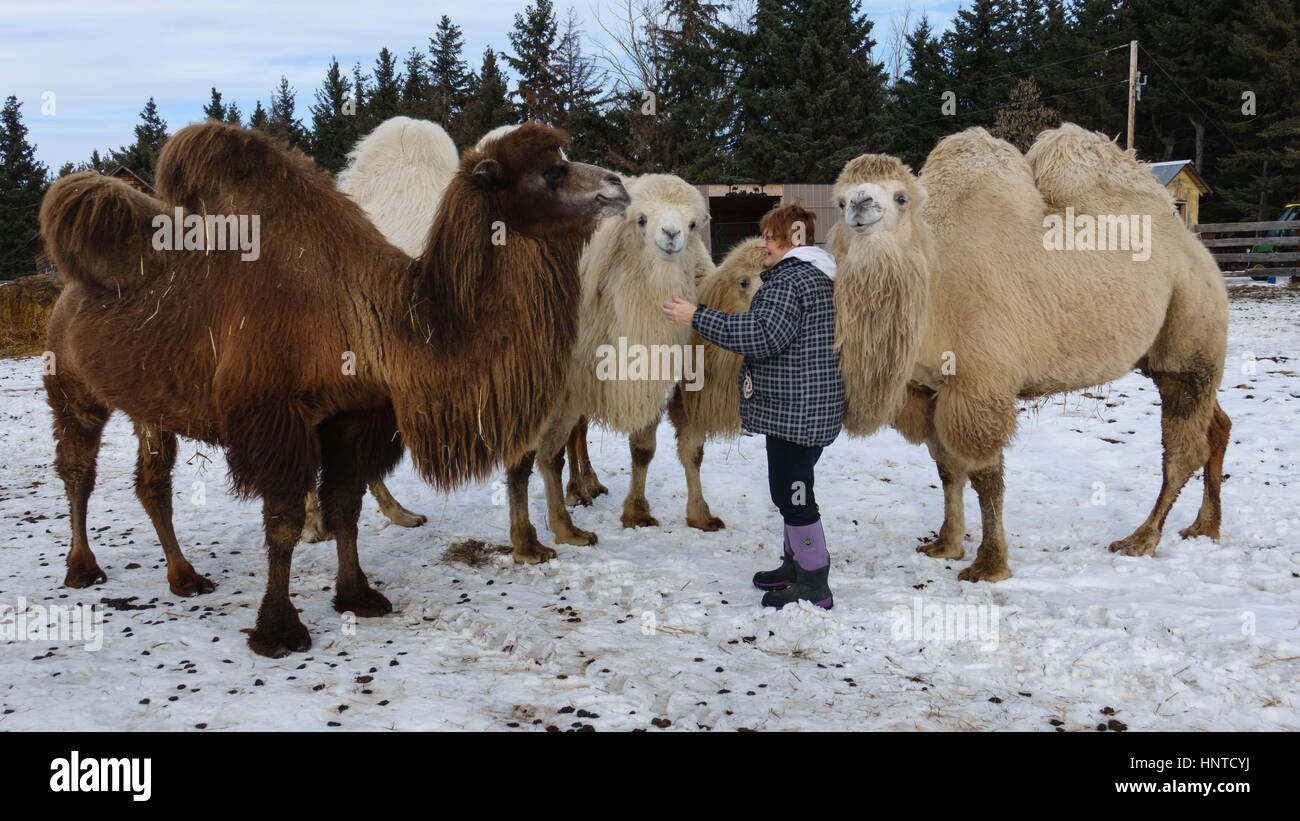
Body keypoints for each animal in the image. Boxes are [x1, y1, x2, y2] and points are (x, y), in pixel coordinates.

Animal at [41, 121, 628, 656]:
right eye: (552, 171)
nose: (618, 186)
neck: (372, 321)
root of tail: (64, 295)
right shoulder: (276, 419)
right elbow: (283, 523)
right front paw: (278, 631)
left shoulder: (358, 414)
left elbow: (346, 506)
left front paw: (357, 596)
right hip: (72, 389)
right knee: (77, 470)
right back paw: (82, 568)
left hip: (150, 403)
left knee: (152, 483)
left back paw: (185, 577)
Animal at [829, 123, 1230, 582]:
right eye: (839, 200)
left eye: (901, 197)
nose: (859, 205)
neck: (932, 286)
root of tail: (1195, 246)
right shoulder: (926, 387)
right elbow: (947, 467)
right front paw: (946, 545)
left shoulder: (980, 383)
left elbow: (984, 473)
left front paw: (989, 564)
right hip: (1167, 352)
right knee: (1217, 426)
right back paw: (1205, 527)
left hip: (1191, 327)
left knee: (1184, 448)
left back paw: (1141, 539)